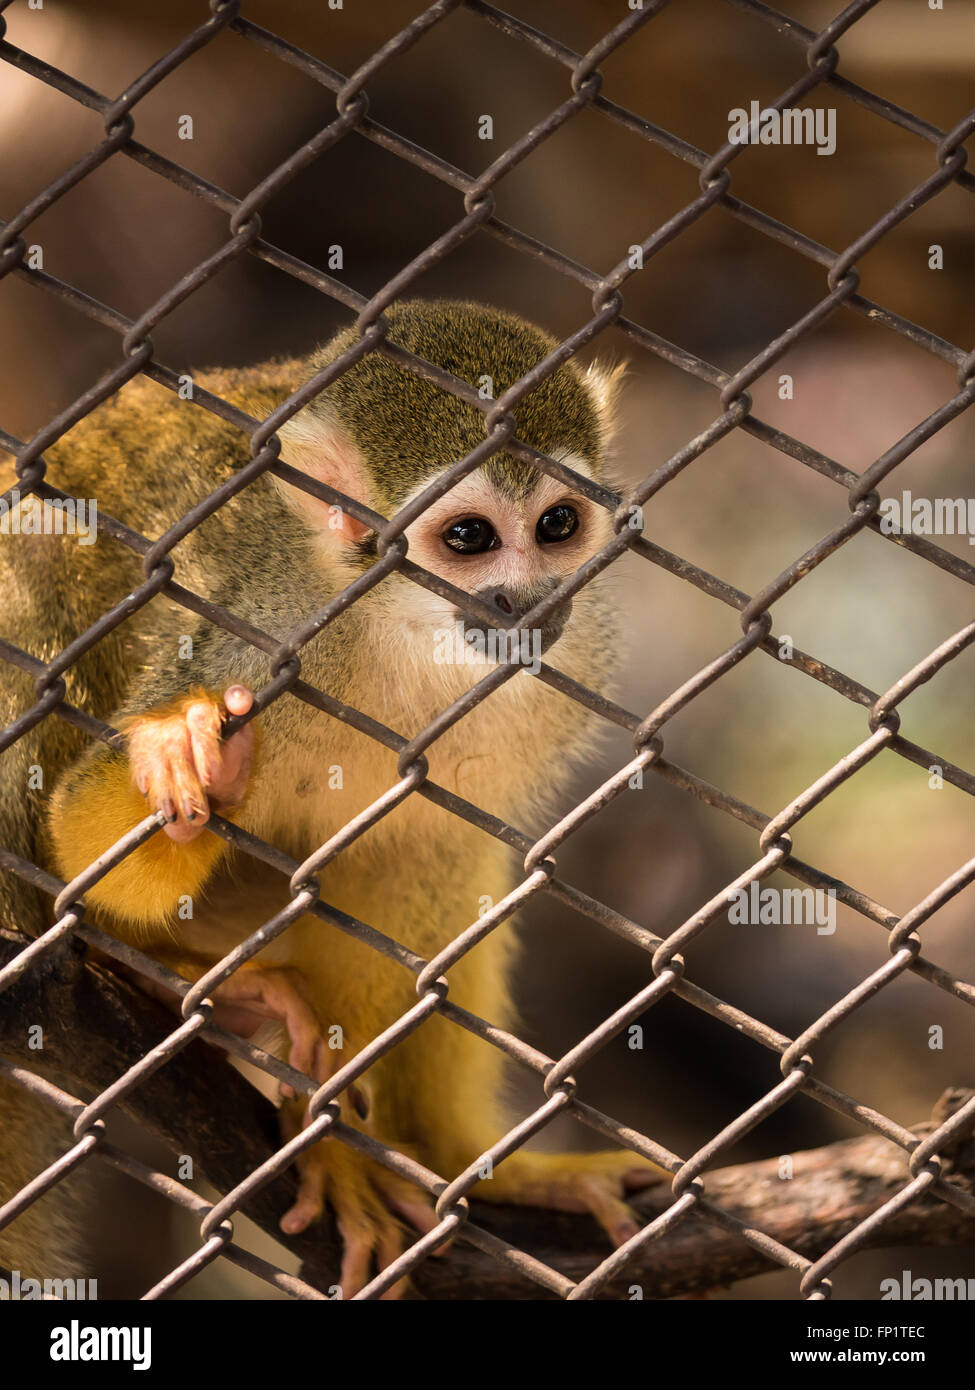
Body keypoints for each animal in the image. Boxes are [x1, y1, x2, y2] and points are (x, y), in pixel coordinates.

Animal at [0, 300, 660, 1297]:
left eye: (556, 523)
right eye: (469, 539)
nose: (530, 602)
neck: (396, 621)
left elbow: (402, 864)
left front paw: (342, 1140)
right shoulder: (254, 638)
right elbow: (84, 836)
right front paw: (181, 748)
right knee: (29, 554)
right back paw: (162, 976)